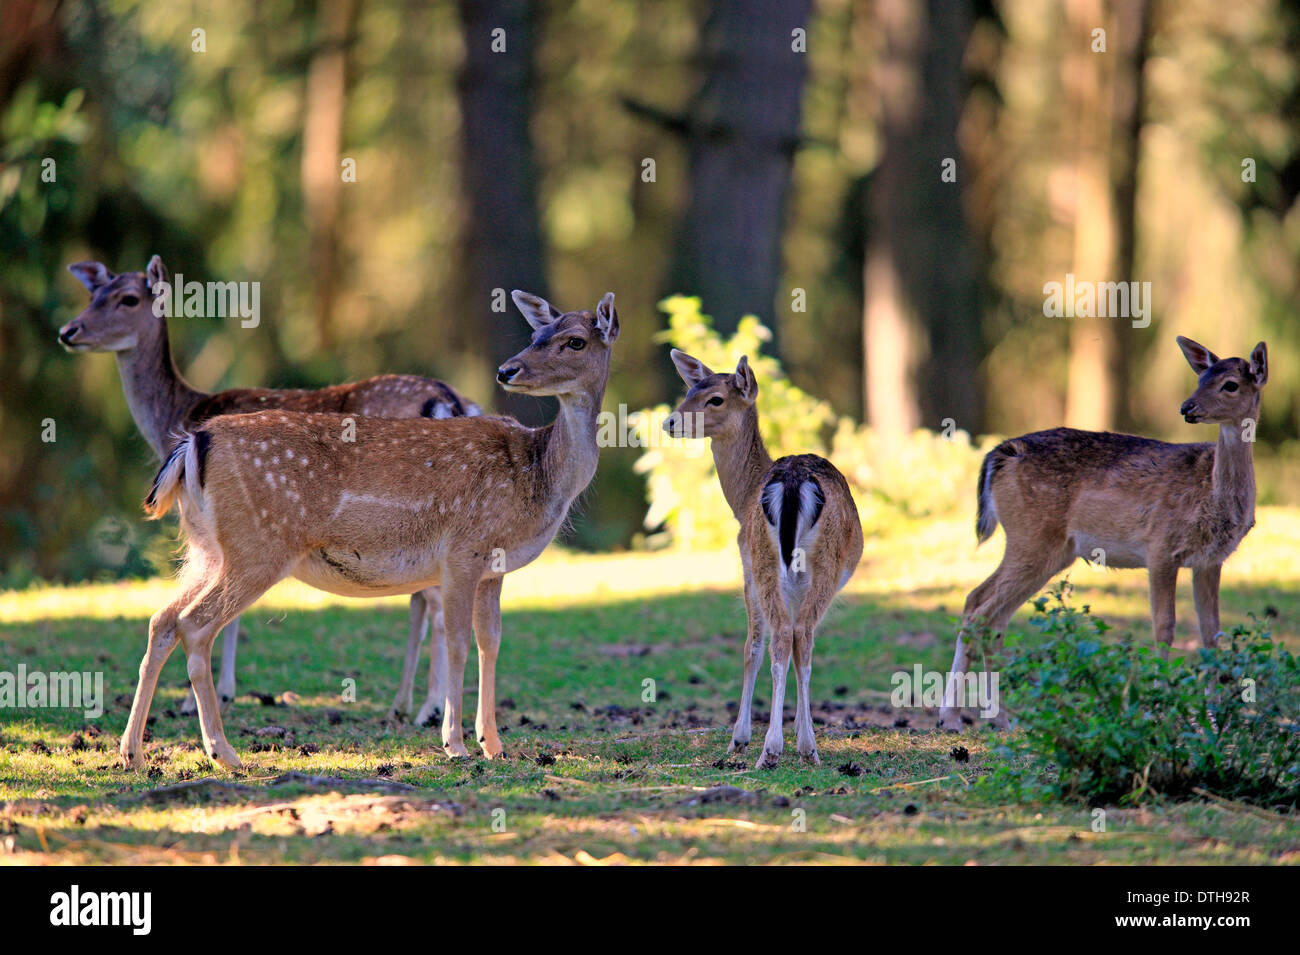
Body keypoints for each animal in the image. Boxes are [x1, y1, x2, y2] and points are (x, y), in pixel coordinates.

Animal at [60, 255, 480, 729]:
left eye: (128, 298)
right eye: (92, 294)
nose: (69, 331)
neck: (175, 415)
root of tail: (449, 400)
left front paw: (209, 695)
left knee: (432, 601)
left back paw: (427, 708)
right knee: (423, 598)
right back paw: (411, 704)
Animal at [118, 290, 619, 770]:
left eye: (574, 340)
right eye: (538, 334)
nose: (507, 370)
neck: (537, 477)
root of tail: (191, 444)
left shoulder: (494, 568)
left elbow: (490, 643)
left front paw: (493, 745)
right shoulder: (464, 549)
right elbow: (458, 641)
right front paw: (455, 744)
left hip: (208, 548)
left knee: (162, 620)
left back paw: (133, 753)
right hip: (257, 545)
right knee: (194, 624)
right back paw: (223, 751)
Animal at [663, 350, 863, 769]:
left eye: (715, 399)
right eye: (690, 389)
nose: (669, 422)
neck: (741, 499)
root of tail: (792, 481)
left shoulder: (745, 562)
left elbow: (751, 646)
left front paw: (739, 738)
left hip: (774, 560)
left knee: (783, 636)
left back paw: (775, 749)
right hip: (815, 565)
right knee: (799, 635)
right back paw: (796, 746)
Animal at [939, 336, 1269, 731]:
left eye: (1230, 384)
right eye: (1201, 377)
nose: (1187, 408)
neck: (1212, 495)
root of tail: (999, 455)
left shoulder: (1210, 560)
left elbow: (1211, 634)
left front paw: (1216, 722)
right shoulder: (1160, 545)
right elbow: (1164, 627)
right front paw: (1156, 711)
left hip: (1051, 549)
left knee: (993, 613)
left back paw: (1001, 719)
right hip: (1031, 537)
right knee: (977, 605)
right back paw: (951, 717)